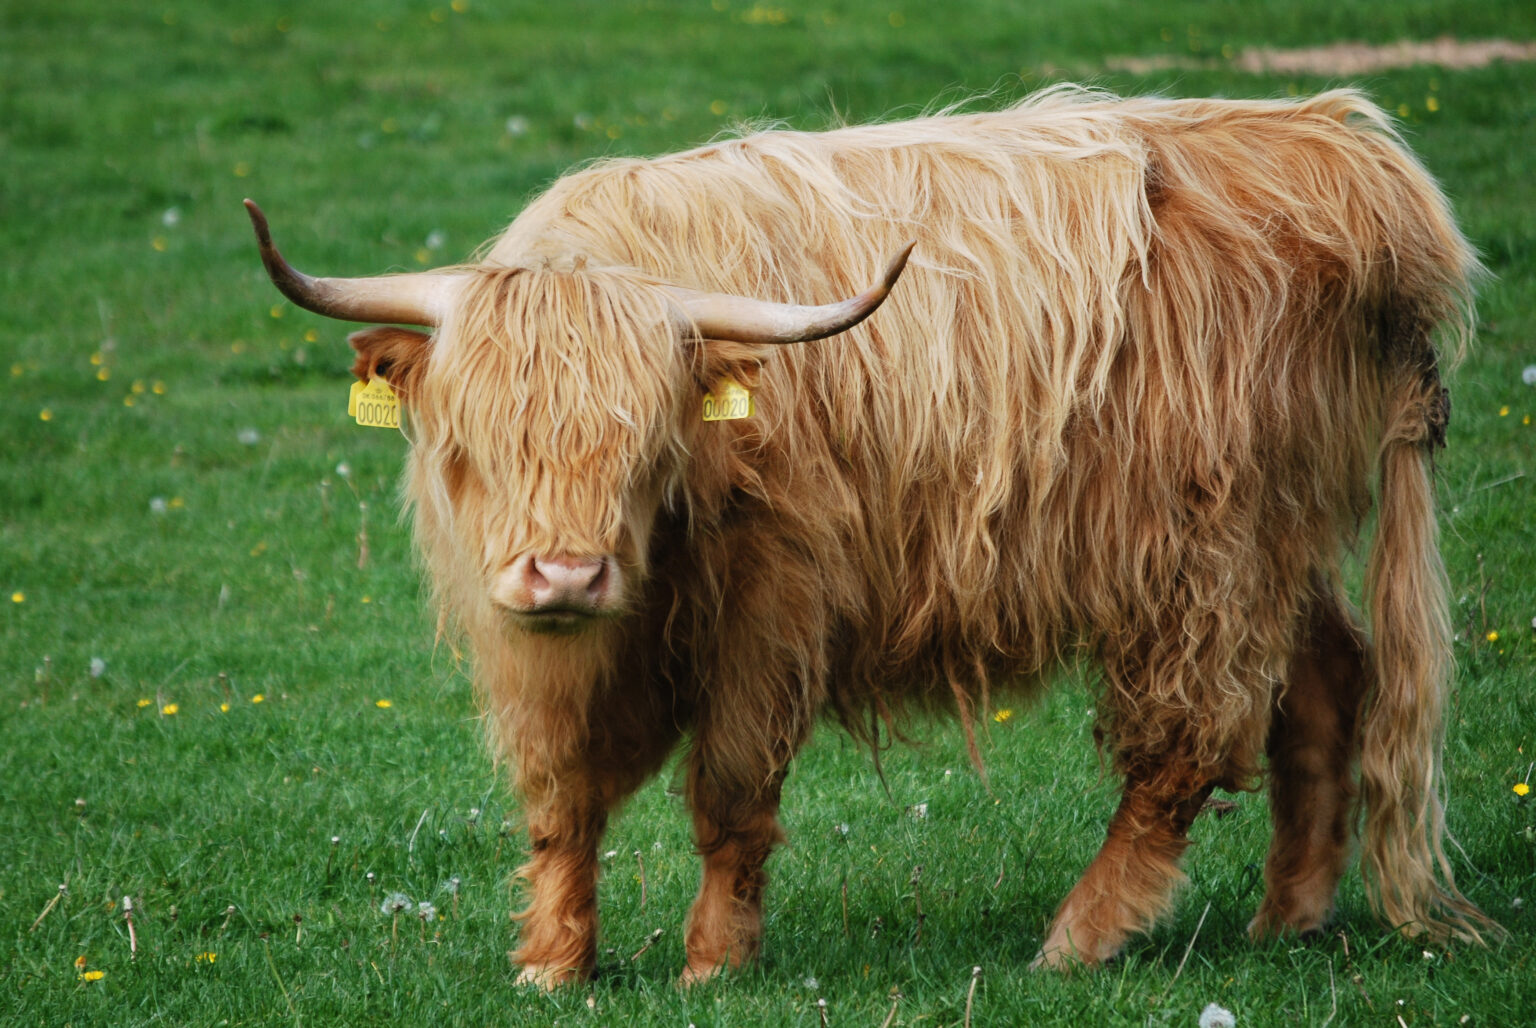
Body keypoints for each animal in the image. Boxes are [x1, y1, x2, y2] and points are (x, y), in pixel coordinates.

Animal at [246, 86, 1497, 987]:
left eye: (646, 438)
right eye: (473, 440)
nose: (564, 570)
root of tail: (1340, 154)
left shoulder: (772, 607)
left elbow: (731, 792)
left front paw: (713, 966)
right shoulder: (539, 655)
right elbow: (562, 803)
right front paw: (551, 965)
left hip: (1203, 551)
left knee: (1189, 742)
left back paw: (1075, 940)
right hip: (1282, 538)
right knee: (1327, 681)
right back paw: (1286, 917)